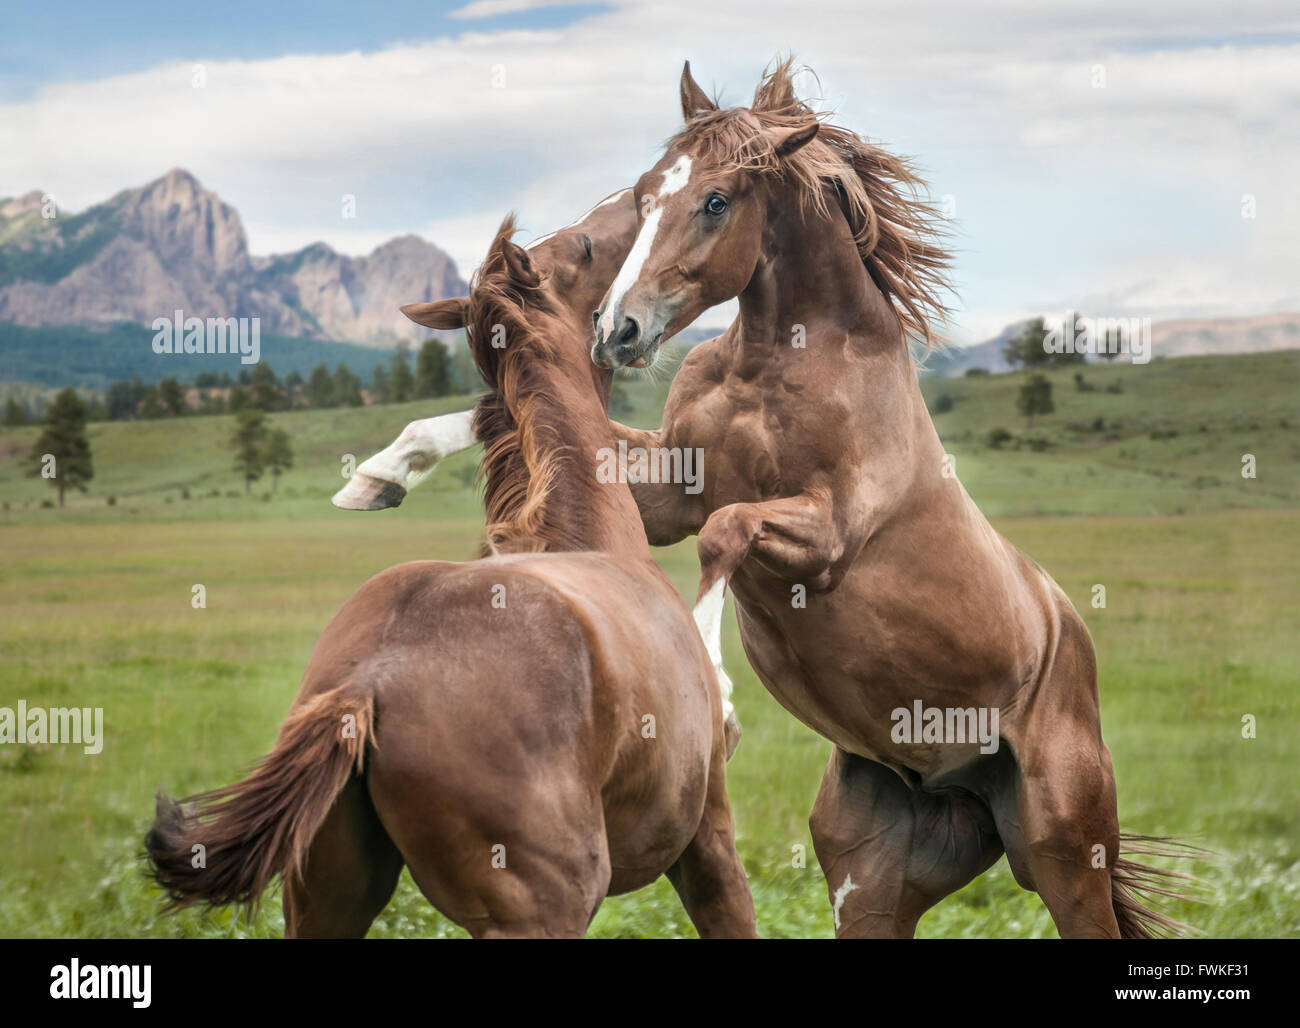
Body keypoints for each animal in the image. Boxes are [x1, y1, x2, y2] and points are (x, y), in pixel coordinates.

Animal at [144, 193, 757, 939]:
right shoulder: (708, 841)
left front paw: (383, 475)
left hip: (326, 901)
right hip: (548, 908)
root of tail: (365, 688)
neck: (589, 531)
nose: (639, 195)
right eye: (585, 247)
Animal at [580, 60, 1197, 939]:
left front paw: (710, 677)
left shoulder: (827, 536)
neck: (777, 365)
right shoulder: (672, 488)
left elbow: (727, 532)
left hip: (1065, 853)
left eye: (716, 200)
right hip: (871, 876)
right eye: (642, 193)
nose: (615, 330)